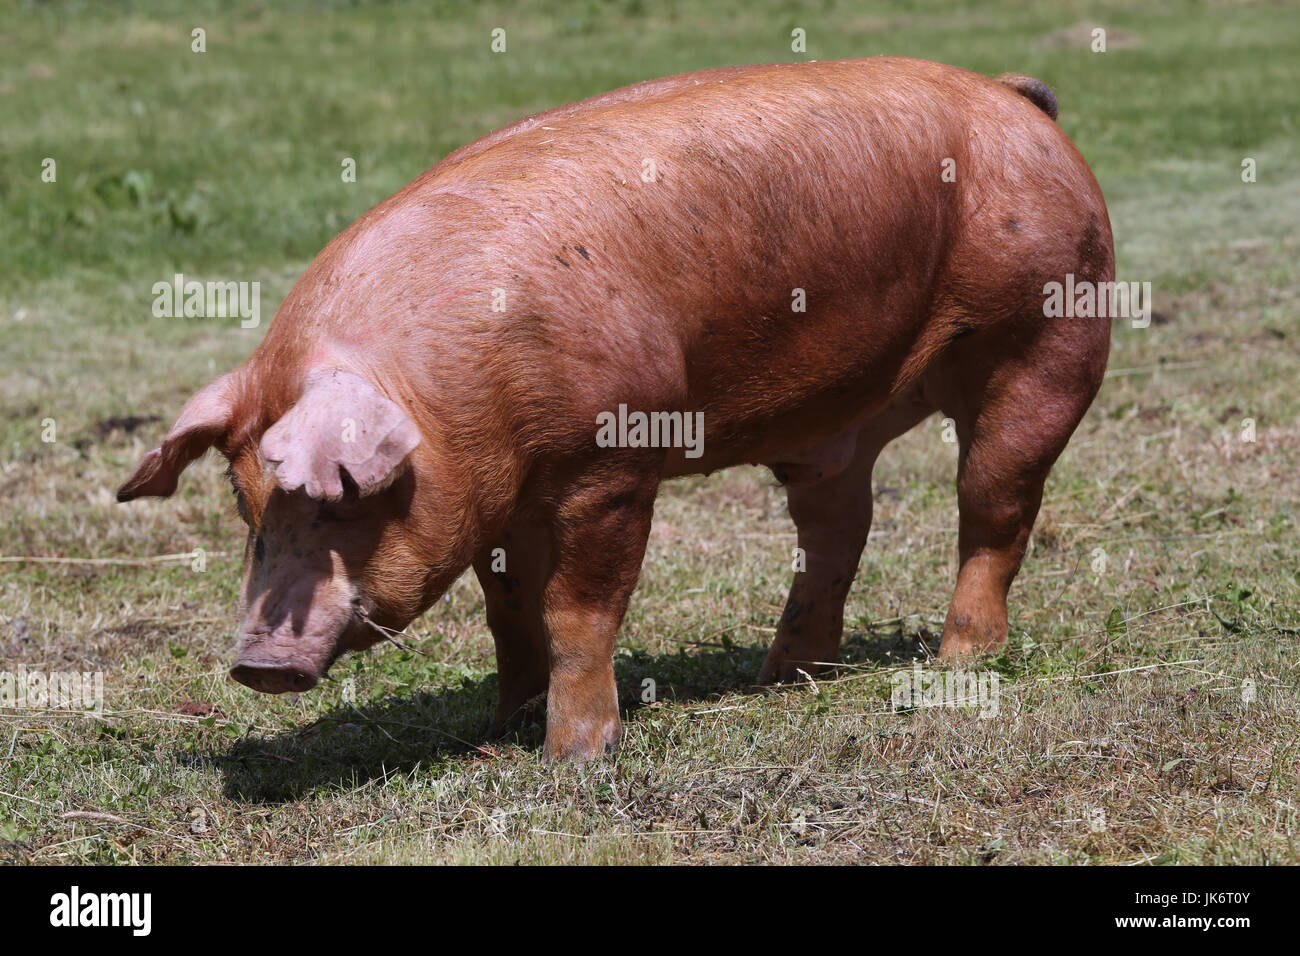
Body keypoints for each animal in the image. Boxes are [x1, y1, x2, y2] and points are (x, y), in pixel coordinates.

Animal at [119, 57, 1113, 760]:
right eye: (243, 501)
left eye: (345, 496)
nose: (259, 663)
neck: (463, 398)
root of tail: (1017, 100)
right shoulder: (498, 500)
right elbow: (508, 615)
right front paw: (495, 729)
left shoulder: (614, 465)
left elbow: (577, 613)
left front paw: (574, 758)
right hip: (837, 430)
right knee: (835, 535)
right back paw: (784, 676)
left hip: (1052, 336)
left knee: (994, 508)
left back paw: (960, 662)